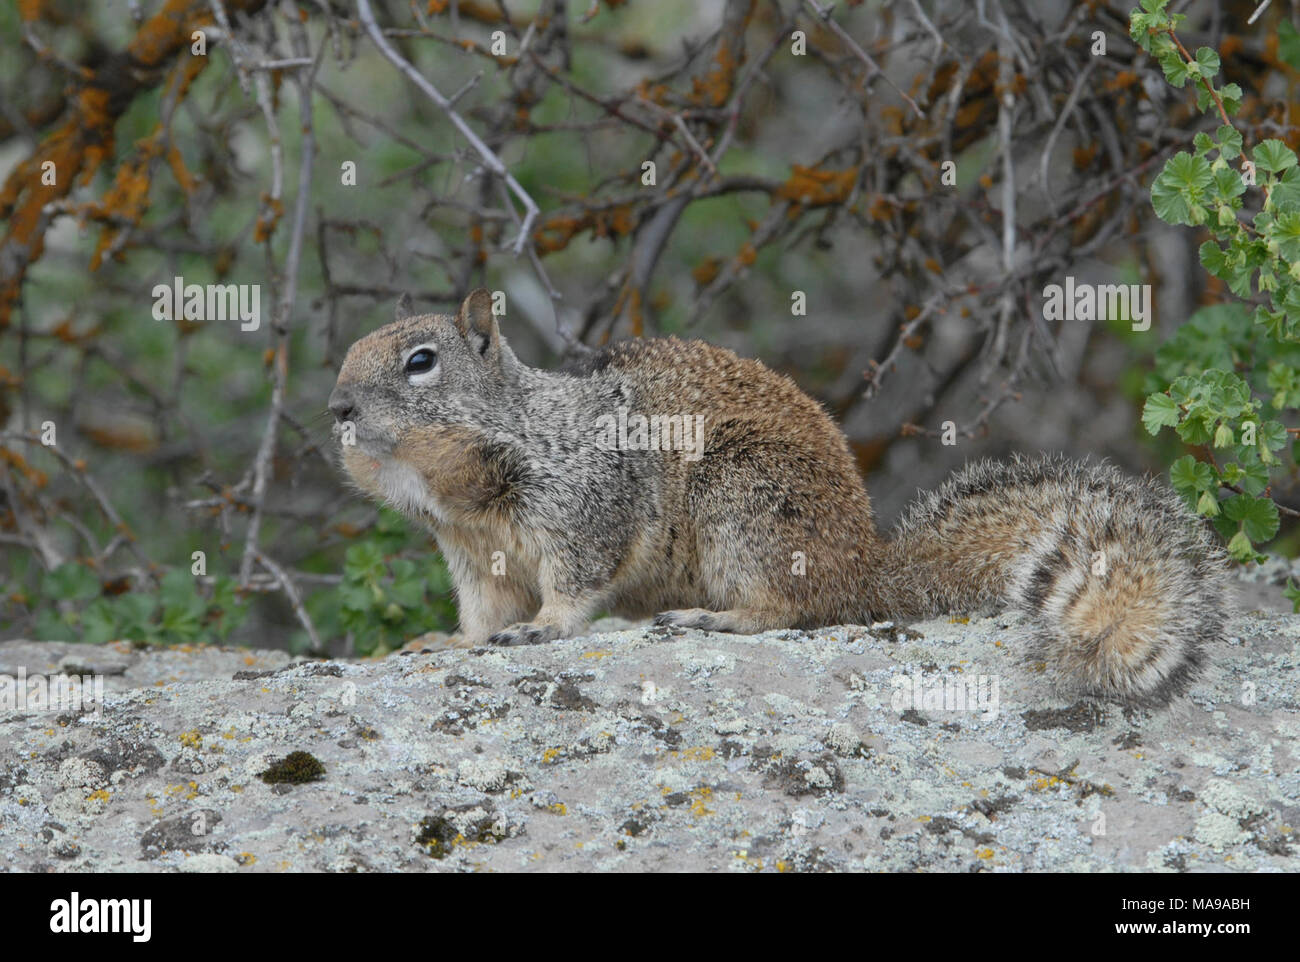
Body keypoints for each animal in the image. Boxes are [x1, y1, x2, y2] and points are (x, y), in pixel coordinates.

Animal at [329, 288, 1230, 707]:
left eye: (420, 362)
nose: (335, 407)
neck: (465, 490)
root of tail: (867, 570)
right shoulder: (470, 554)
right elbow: (479, 613)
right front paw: (445, 643)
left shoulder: (587, 502)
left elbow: (576, 583)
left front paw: (545, 629)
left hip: (747, 505)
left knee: (793, 610)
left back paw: (714, 617)